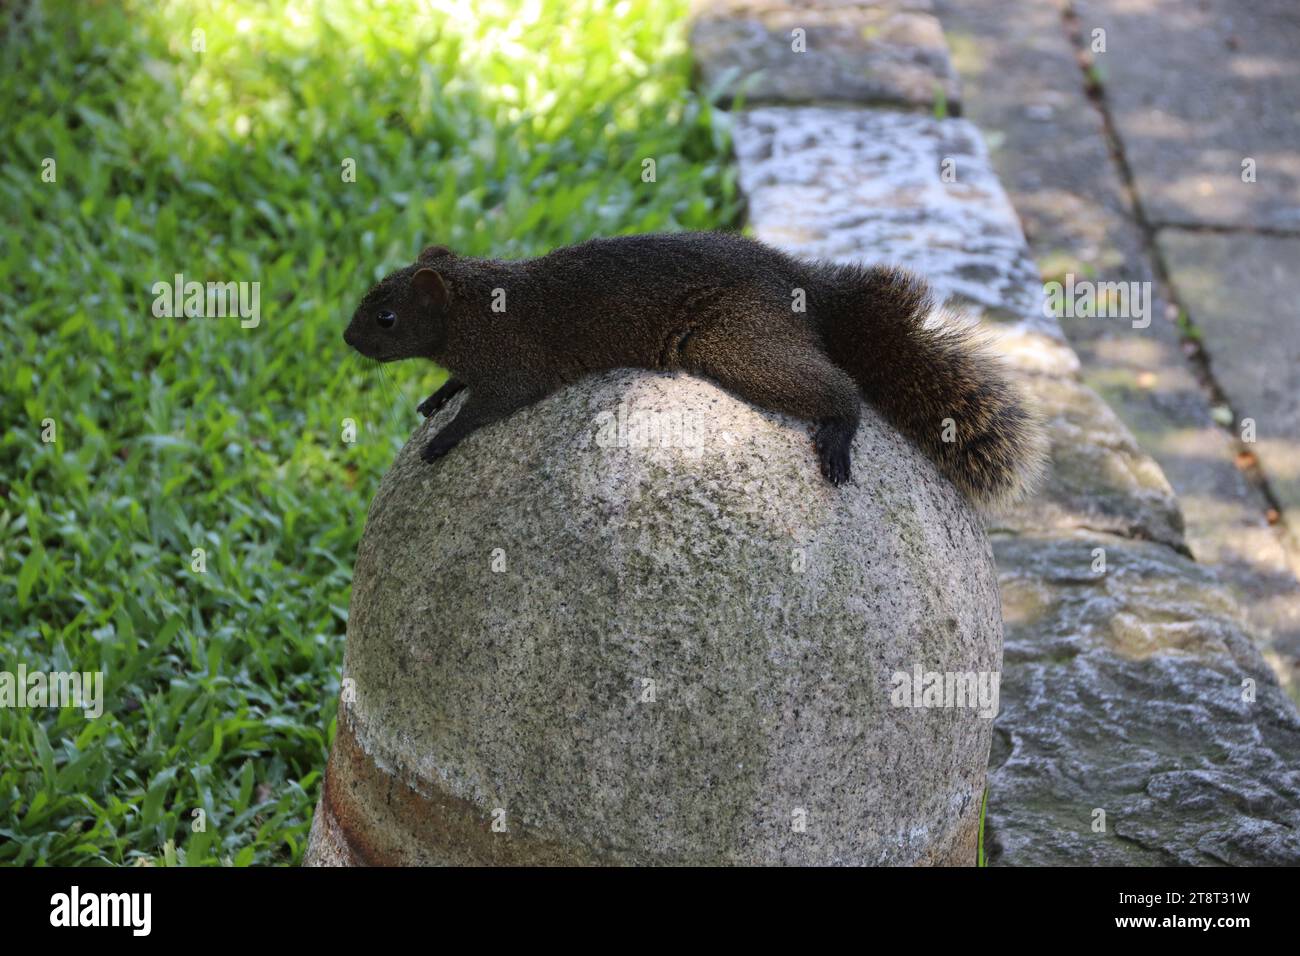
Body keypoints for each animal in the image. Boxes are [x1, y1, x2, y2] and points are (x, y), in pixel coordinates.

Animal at [343, 232, 1045, 510]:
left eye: (386, 317)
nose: (347, 338)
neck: (475, 311)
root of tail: (803, 286)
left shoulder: (517, 362)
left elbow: (493, 404)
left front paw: (446, 437)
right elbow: (462, 385)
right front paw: (439, 395)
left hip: (742, 343)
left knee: (840, 388)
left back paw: (839, 432)